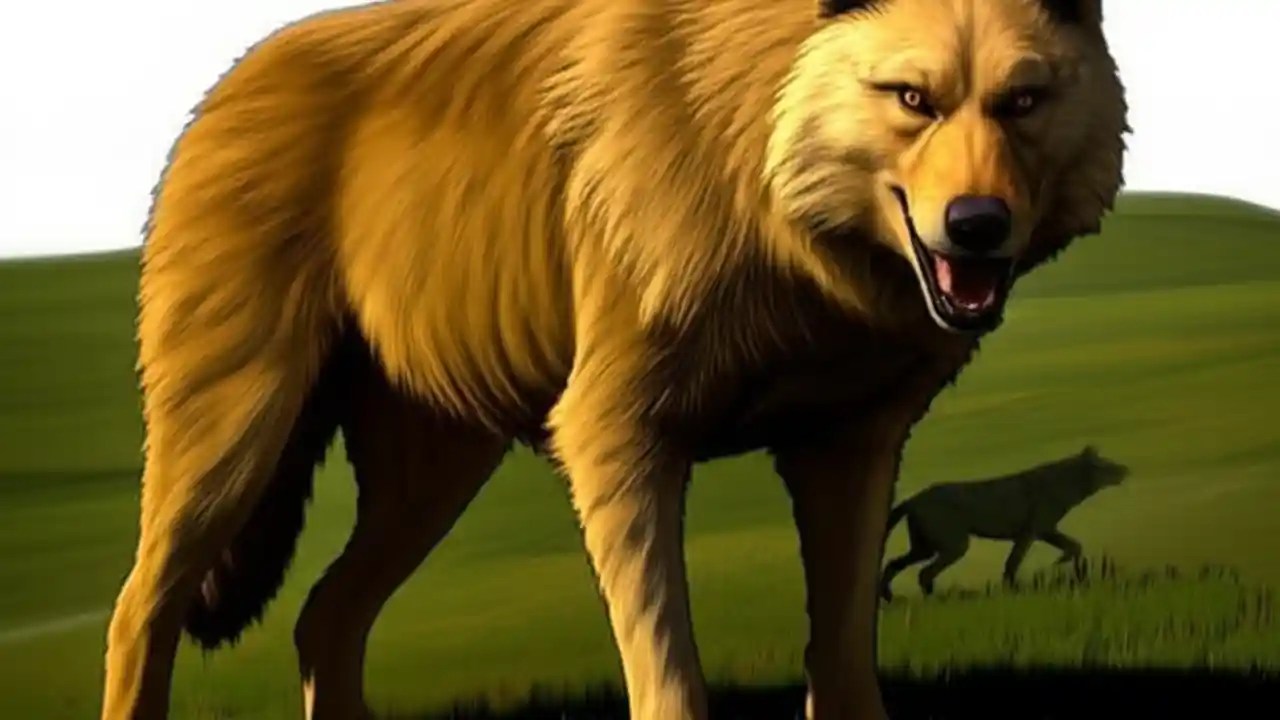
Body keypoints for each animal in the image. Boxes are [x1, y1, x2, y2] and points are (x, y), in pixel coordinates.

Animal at [880, 445, 1131, 600]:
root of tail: (914, 498)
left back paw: (890, 597)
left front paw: (1071, 569)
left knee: (893, 564)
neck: (1069, 482)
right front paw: (1013, 590)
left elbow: (1074, 545)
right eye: (1105, 465)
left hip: (925, 546)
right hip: (954, 545)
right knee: (925, 572)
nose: (1125, 469)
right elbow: (1013, 562)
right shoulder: (1033, 531)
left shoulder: (1045, 530)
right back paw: (938, 599)